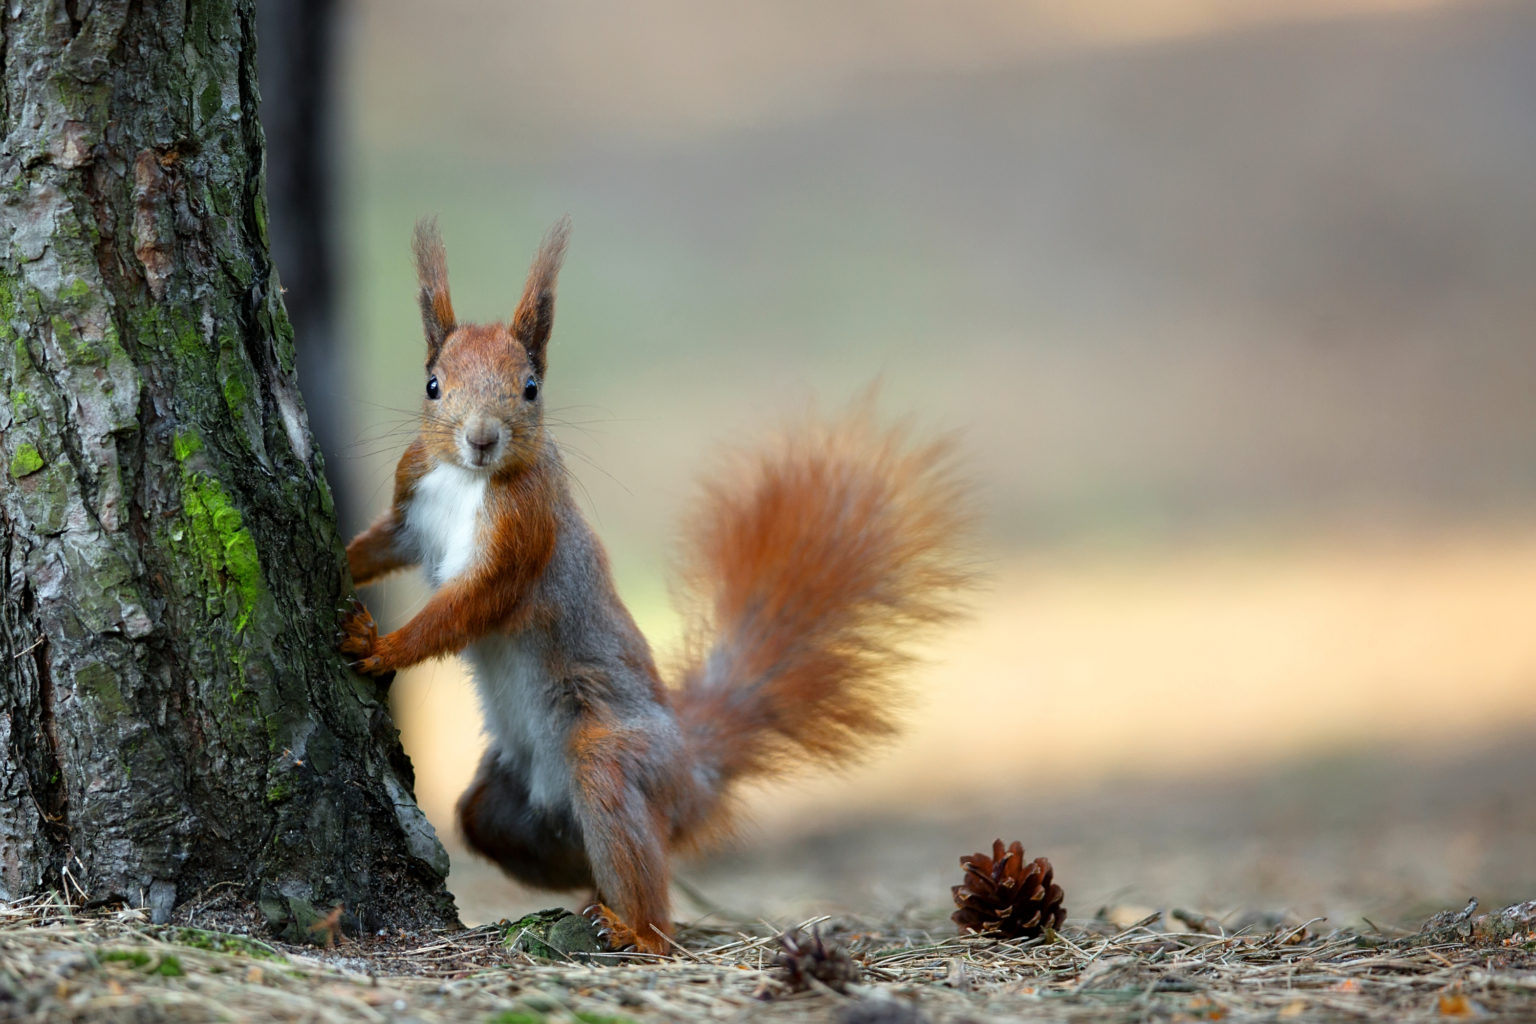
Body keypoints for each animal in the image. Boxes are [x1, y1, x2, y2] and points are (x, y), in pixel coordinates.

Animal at [339, 219, 971, 954]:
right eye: (433, 385)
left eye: (531, 387)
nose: (481, 438)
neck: (465, 481)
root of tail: (692, 772)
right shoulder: (412, 504)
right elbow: (383, 543)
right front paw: (347, 565)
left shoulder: (522, 539)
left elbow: (466, 608)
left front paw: (381, 646)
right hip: (505, 807)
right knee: (520, 827)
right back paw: (590, 895)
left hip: (613, 757)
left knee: (648, 872)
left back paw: (632, 928)